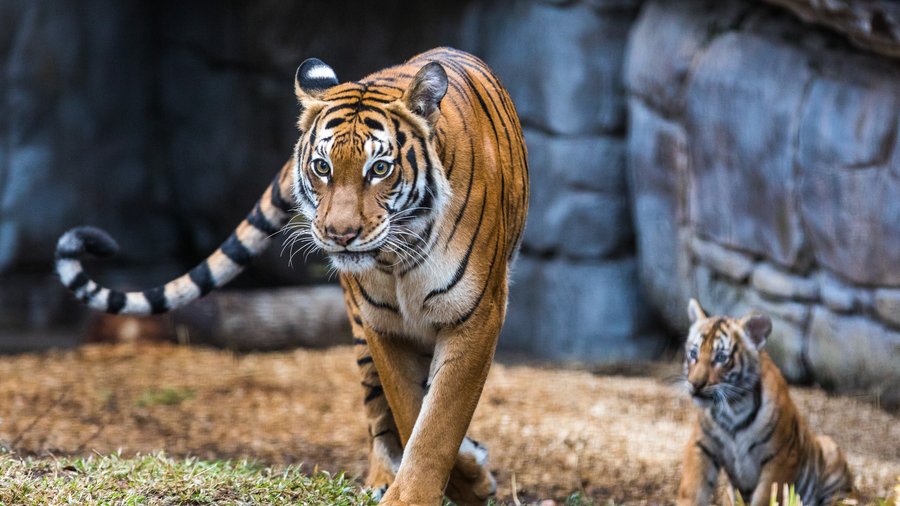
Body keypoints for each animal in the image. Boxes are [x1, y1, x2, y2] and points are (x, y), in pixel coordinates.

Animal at [55, 47, 528, 506]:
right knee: (377, 407)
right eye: (322, 167)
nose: (339, 234)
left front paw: (428, 492)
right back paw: (382, 477)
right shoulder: (383, 325)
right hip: (360, 330)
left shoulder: (475, 317)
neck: (398, 260)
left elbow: (439, 419)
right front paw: (460, 481)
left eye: (379, 169)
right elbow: (410, 409)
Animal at [676, 299, 854, 506]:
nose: (695, 384)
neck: (732, 410)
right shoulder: (702, 445)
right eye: (693, 353)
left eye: (721, 357)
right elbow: (693, 489)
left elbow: (766, 496)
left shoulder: (780, 456)